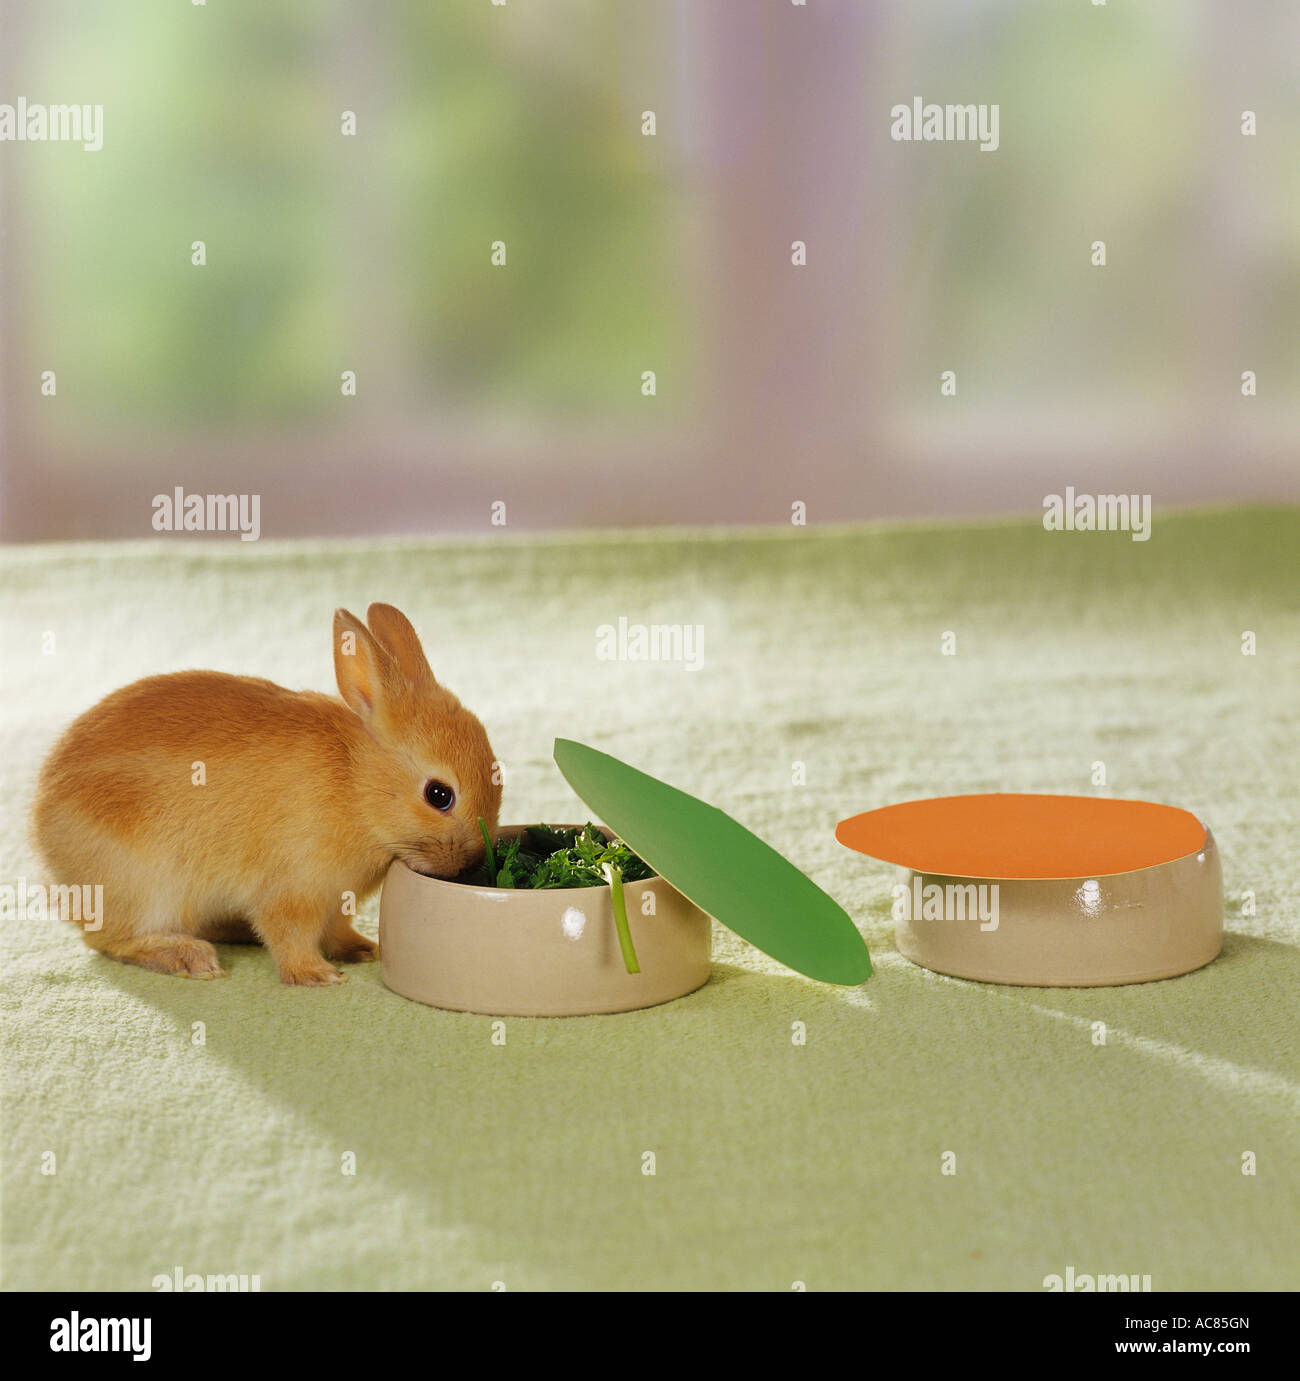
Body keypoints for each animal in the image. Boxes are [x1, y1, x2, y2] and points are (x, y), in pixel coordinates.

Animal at [30, 603, 501, 985]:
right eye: (439, 795)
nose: (469, 863)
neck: (357, 784)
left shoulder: (337, 900)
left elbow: (336, 930)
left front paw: (364, 950)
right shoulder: (295, 887)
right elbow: (289, 933)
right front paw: (316, 976)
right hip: (145, 887)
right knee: (111, 940)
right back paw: (189, 958)